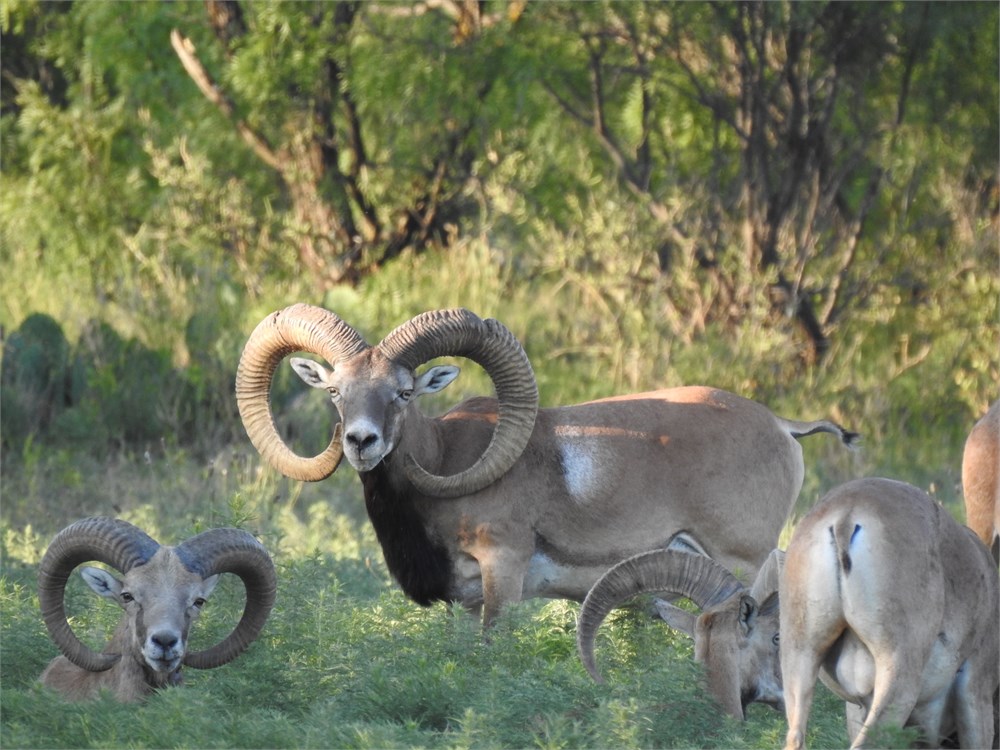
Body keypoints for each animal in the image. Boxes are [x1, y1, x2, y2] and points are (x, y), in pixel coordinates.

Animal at [236, 304, 856, 628]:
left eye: (404, 392)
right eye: (335, 392)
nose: (361, 441)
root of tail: (783, 428)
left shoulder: (502, 573)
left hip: (741, 562)